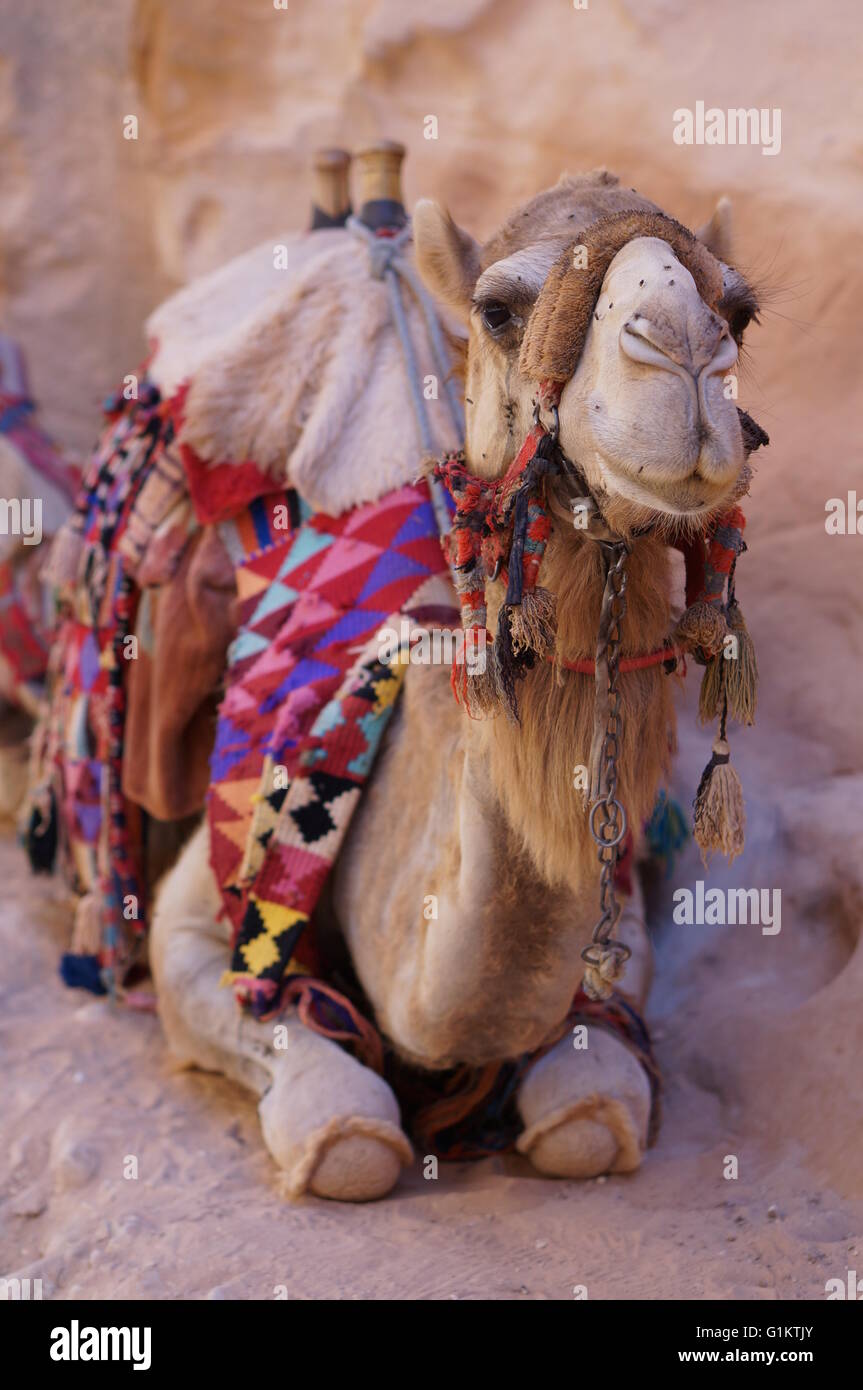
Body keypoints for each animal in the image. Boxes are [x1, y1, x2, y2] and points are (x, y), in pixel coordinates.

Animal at [151, 169, 763, 1202]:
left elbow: (589, 1118)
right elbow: (344, 1133)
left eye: (740, 310)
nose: (681, 357)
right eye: (498, 309)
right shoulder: (208, 895)